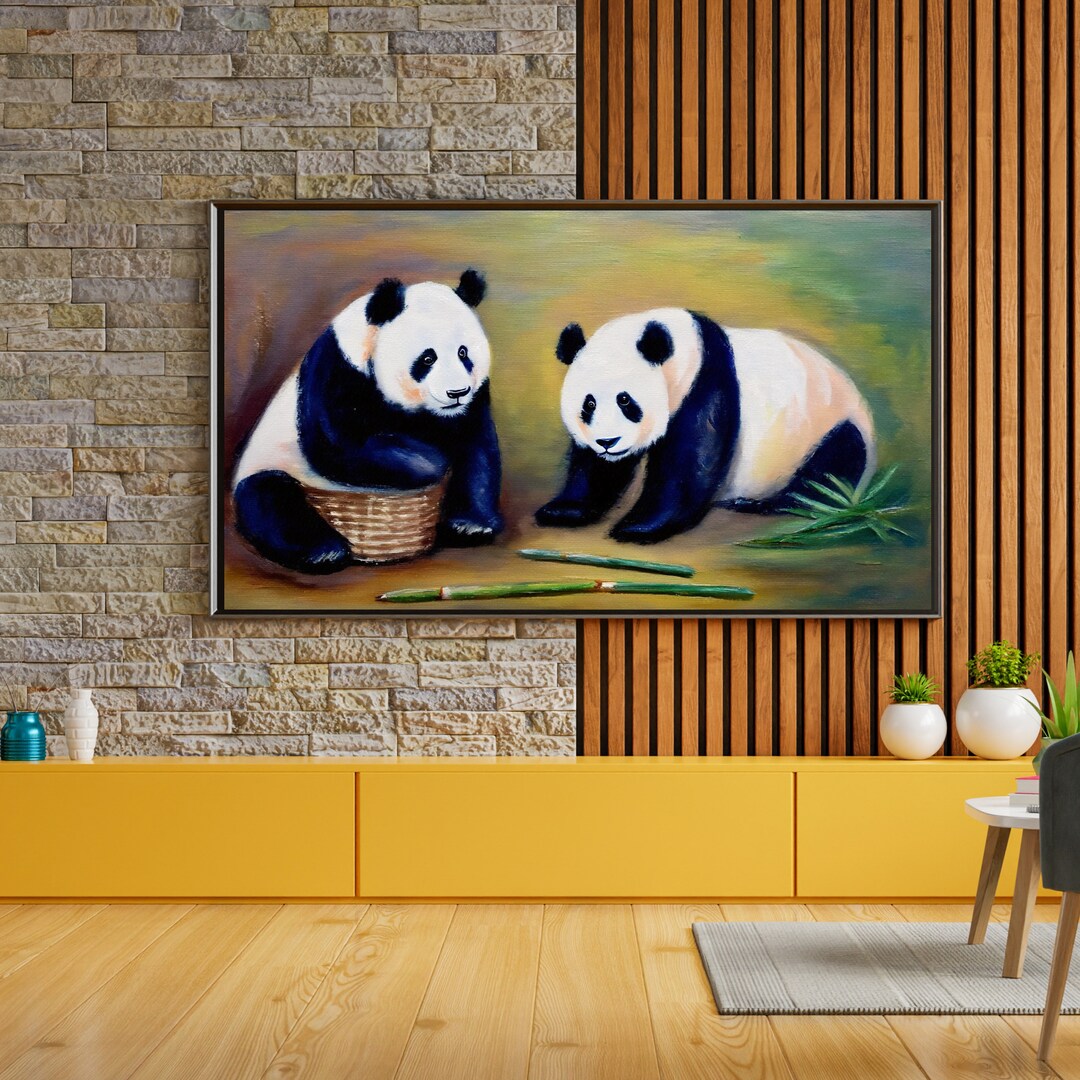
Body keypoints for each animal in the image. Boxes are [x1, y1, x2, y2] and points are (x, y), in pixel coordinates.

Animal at [232, 269, 503, 574]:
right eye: (427, 358)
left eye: (463, 353)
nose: (457, 393)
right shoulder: (337, 371)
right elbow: (341, 447)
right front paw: (433, 462)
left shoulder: (473, 400)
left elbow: (477, 447)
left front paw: (471, 526)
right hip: (271, 463)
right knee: (272, 501)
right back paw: (323, 553)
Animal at [535, 307, 876, 544]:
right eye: (588, 404)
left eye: (625, 401)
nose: (607, 442)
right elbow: (597, 471)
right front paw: (563, 510)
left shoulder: (706, 383)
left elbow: (689, 466)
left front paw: (639, 527)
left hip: (830, 427)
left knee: (830, 471)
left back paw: (760, 504)